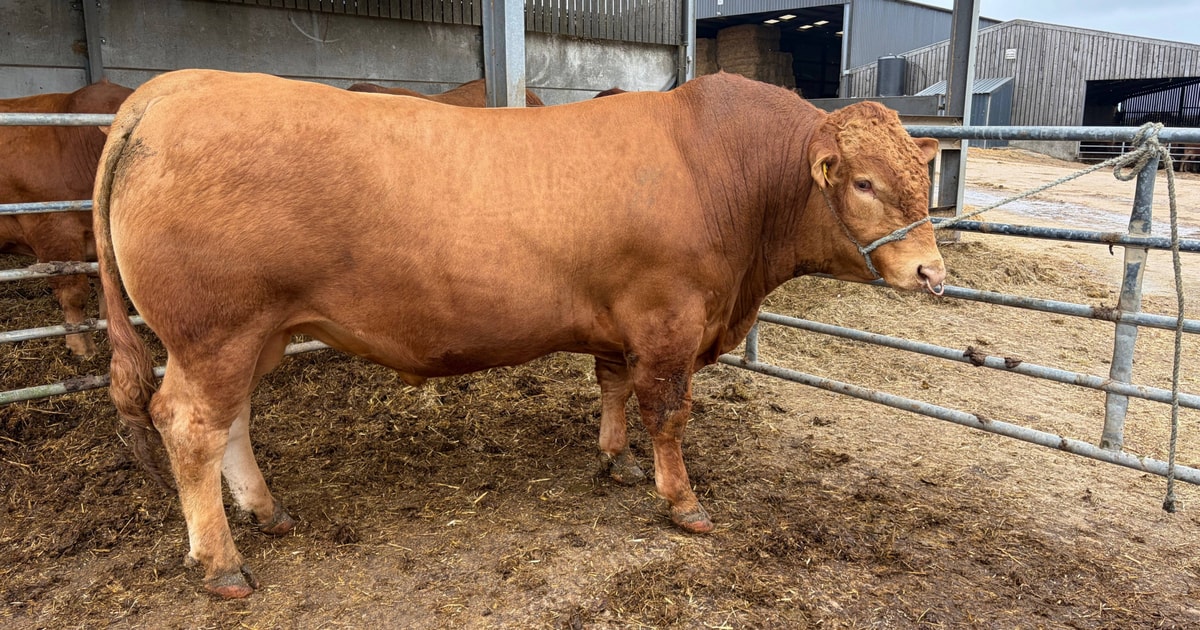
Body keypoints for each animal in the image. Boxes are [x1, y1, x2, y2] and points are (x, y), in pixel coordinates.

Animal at [94, 69, 945, 598]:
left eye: (921, 176)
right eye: (863, 182)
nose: (932, 272)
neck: (722, 171)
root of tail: (173, 89)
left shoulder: (619, 324)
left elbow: (613, 389)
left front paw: (615, 460)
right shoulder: (670, 322)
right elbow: (668, 412)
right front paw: (682, 501)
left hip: (251, 333)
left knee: (231, 421)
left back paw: (267, 510)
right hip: (216, 330)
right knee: (191, 426)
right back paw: (222, 564)